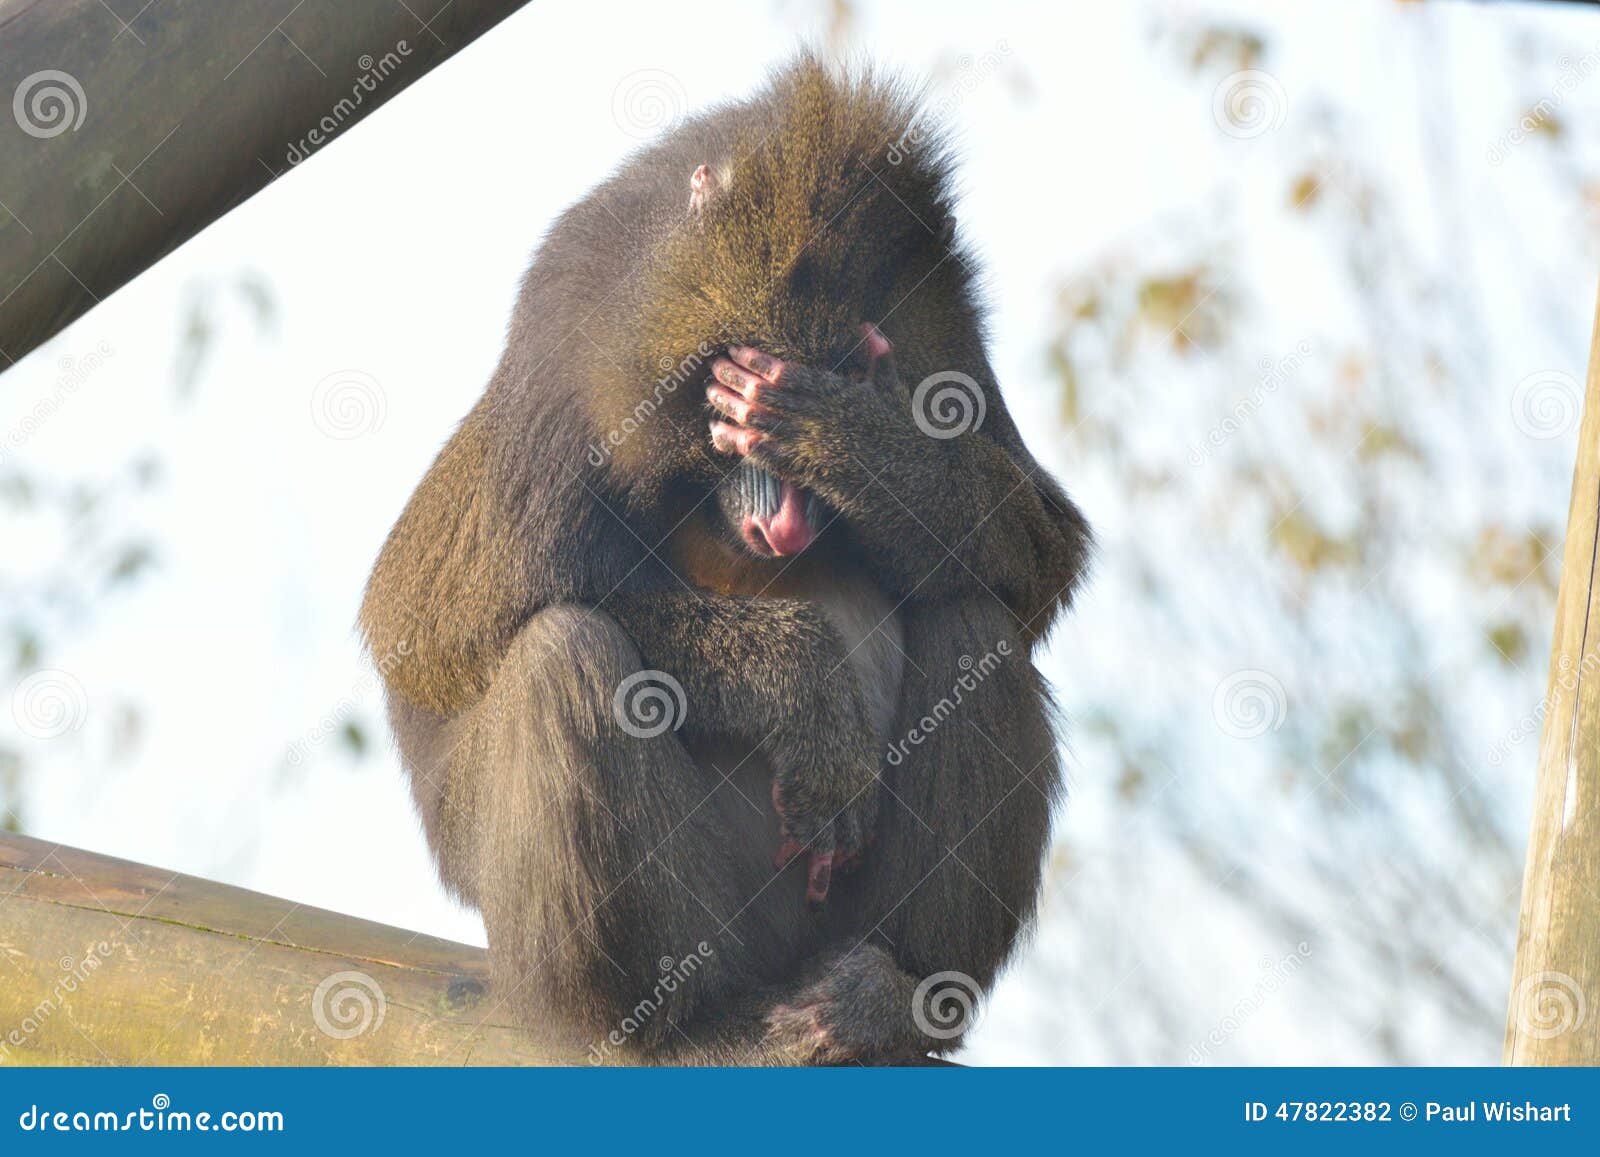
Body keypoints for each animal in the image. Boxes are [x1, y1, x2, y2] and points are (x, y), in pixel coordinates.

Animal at [359, 54, 1091, 1065]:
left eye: (850, 364)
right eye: (738, 371)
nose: (781, 519)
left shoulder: (951, 343)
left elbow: (1038, 558)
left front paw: (859, 449)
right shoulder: (570, 344)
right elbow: (433, 629)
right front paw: (803, 686)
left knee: (970, 616)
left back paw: (887, 996)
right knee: (564, 657)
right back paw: (673, 1022)